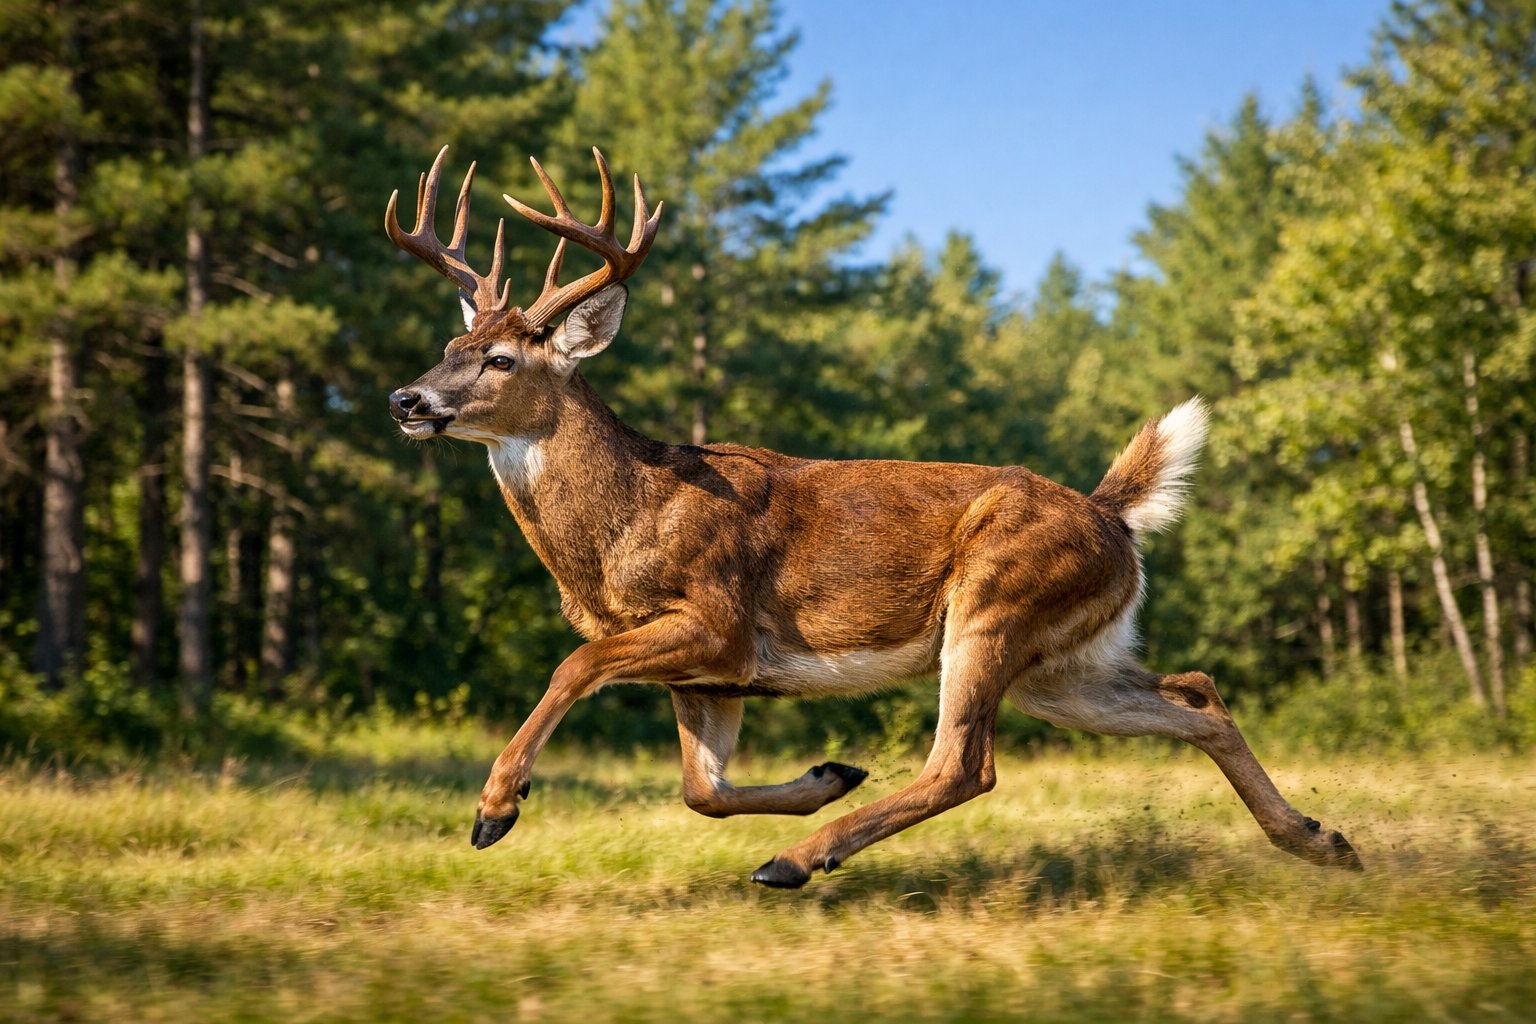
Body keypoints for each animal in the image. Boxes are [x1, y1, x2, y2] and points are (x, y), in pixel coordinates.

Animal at [384, 145, 1362, 887]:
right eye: (451, 344)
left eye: (503, 360)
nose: (407, 398)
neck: (621, 527)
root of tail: (1110, 514)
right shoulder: (715, 676)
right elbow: (703, 789)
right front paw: (829, 771)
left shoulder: (718, 621)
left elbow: (575, 664)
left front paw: (494, 809)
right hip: (1065, 662)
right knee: (1193, 695)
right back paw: (1322, 840)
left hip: (997, 599)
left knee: (965, 763)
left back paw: (793, 860)